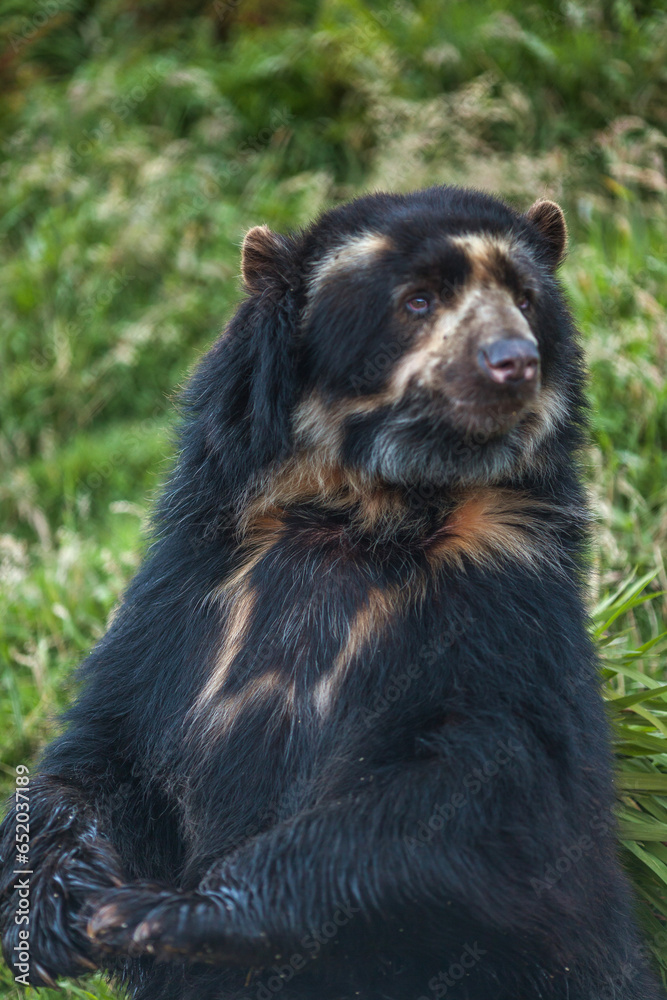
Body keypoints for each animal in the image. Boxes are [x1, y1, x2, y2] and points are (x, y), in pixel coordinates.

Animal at [1, 184, 665, 1000]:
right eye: (418, 300)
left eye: (524, 297)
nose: (514, 363)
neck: (365, 514)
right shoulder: (187, 589)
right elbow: (109, 752)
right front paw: (58, 911)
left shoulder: (505, 595)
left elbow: (476, 790)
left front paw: (166, 914)